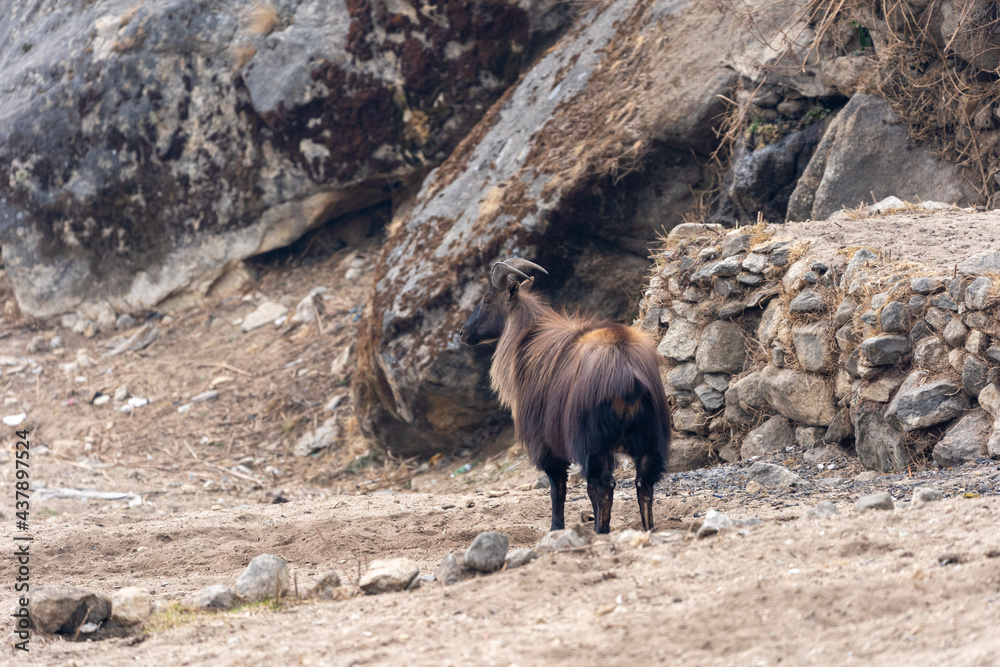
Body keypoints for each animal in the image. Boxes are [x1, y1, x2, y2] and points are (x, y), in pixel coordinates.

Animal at [459, 258, 671, 533]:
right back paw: (646, 530)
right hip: (649, 437)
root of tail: (628, 373)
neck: (526, 340)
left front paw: (555, 528)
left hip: (593, 442)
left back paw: (600, 532)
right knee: (643, 483)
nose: (463, 332)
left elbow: (557, 488)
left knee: (602, 486)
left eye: (486, 299)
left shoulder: (547, 444)